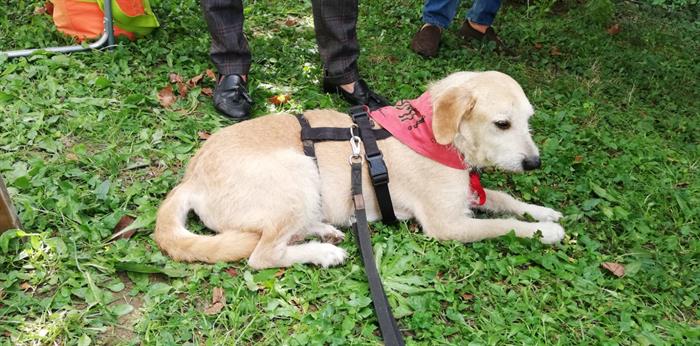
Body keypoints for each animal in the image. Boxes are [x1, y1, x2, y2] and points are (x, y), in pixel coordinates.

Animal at [153, 71, 564, 270]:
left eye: (527, 120)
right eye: (502, 124)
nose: (534, 163)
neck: (432, 133)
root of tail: (190, 179)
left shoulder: (466, 193)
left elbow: (504, 199)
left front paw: (542, 211)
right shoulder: (448, 224)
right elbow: (503, 225)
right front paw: (545, 231)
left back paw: (324, 231)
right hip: (298, 169)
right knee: (262, 255)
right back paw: (322, 253)